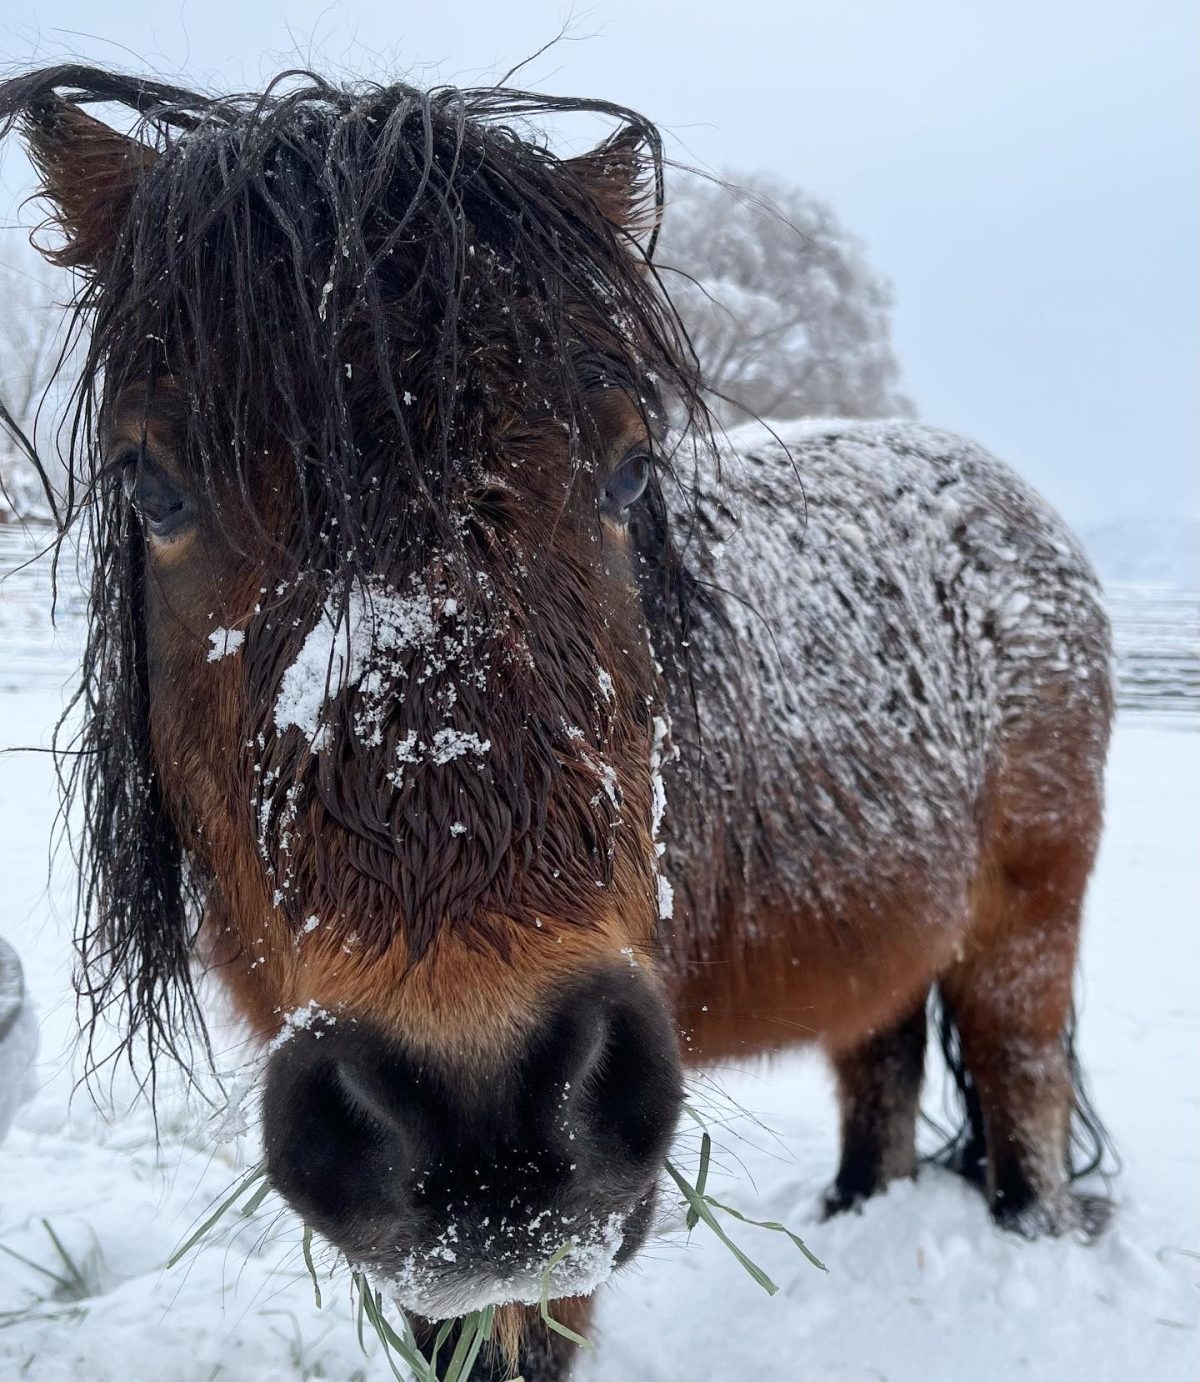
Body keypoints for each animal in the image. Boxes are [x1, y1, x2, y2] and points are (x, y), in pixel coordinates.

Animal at [0, 66, 1113, 1381]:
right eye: (152, 485)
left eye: (628, 470)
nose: (484, 1107)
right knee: (880, 1081)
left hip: (1022, 936)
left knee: (1023, 1103)